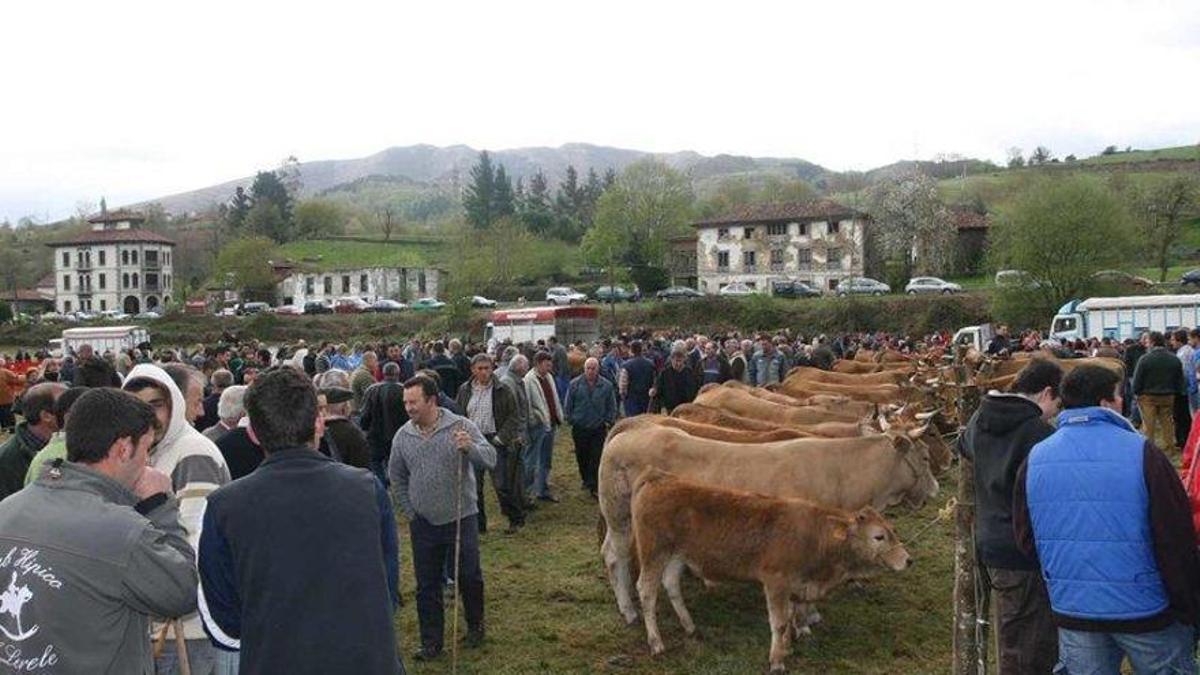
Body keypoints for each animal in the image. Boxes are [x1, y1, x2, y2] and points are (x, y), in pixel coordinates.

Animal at [600, 422, 936, 624]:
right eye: (925, 457)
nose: (934, 490)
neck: (841, 473)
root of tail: (632, 429)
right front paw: (807, 618)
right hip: (619, 516)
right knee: (617, 556)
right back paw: (629, 609)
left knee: (608, 553)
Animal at [628, 470, 907, 667]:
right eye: (879, 536)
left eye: (893, 530)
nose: (907, 559)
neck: (814, 535)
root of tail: (658, 477)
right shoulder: (776, 581)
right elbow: (780, 622)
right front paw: (777, 660)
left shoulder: (795, 585)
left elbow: (792, 615)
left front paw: (787, 648)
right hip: (654, 552)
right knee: (647, 591)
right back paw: (656, 642)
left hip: (677, 555)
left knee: (671, 584)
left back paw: (690, 626)